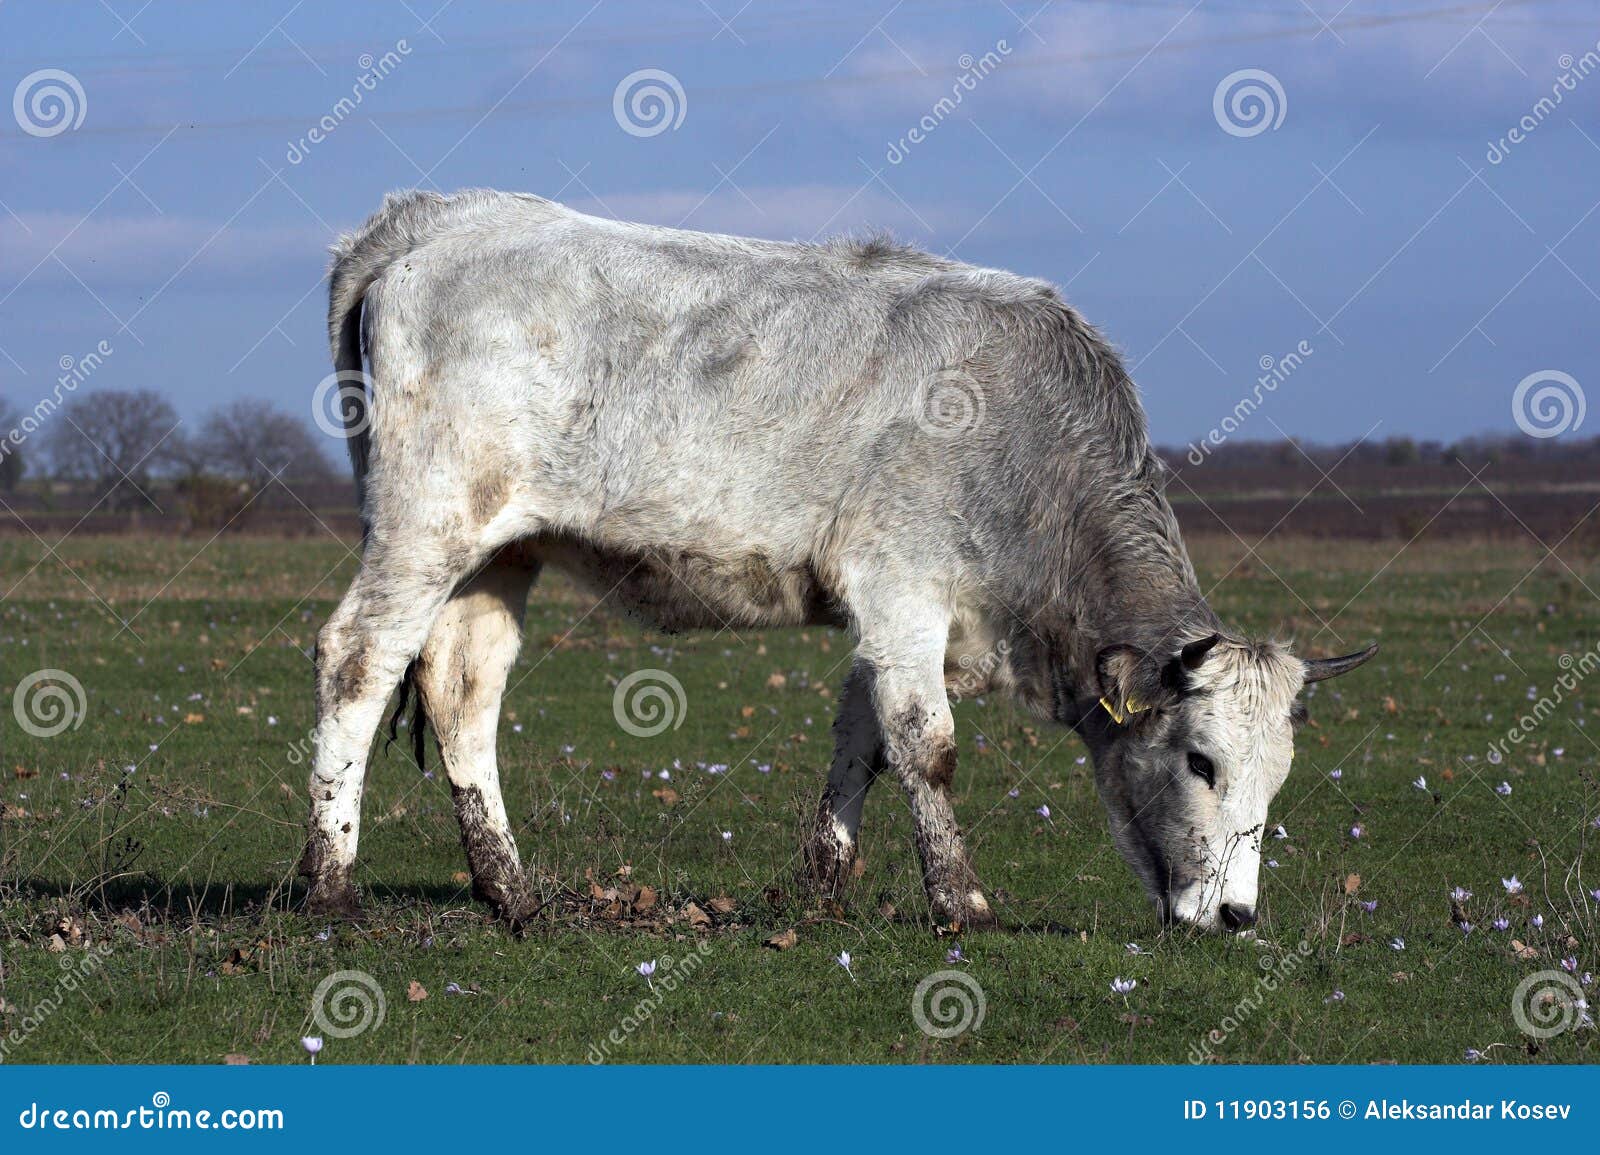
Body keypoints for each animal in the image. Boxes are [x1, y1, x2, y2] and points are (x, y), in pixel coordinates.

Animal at [300, 189, 1376, 933]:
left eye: (1279, 775)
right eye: (1200, 760)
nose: (1237, 915)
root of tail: (441, 218)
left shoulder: (895, 620)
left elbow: (861, 739)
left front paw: (822, 888)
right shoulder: (902, 589)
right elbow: (925, 745)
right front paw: (962, 904)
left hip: (499, 550)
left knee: (461, 688)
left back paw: (511, 891)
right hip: (424, 523)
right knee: (359, 658)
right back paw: (329, 883)